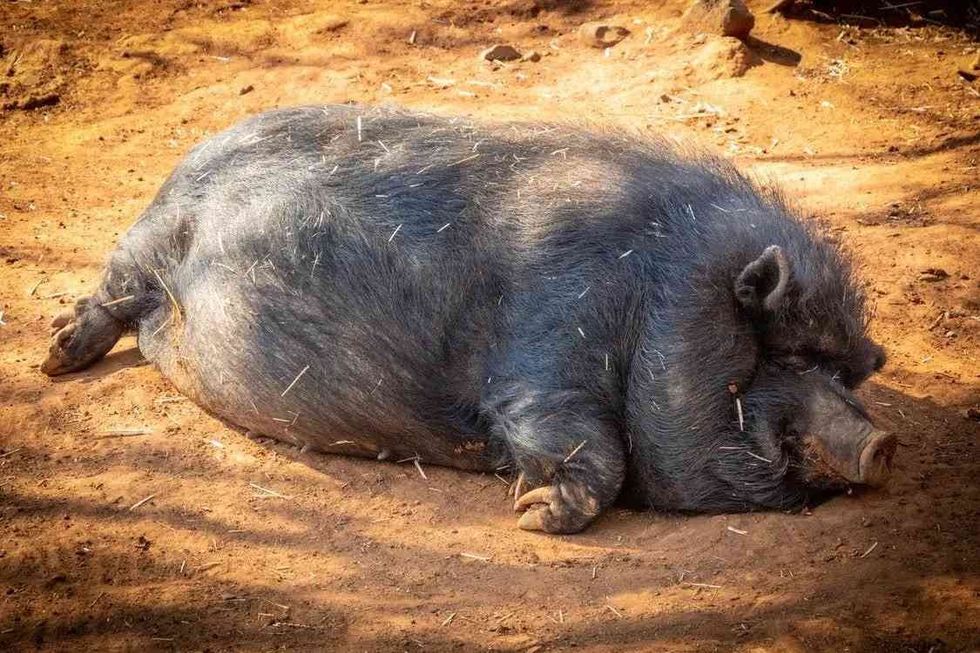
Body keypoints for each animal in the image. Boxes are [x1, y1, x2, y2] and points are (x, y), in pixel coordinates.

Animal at [41, 105, 894, 533]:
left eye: (846, 369)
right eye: (787, 353)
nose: (883, 441)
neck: (653, 298)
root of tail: (185, 161)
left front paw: (529, 508)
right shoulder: (543, 358)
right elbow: (595, 447)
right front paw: (530, 516)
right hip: (146, 240)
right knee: (111, 292)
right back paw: (53, 358)